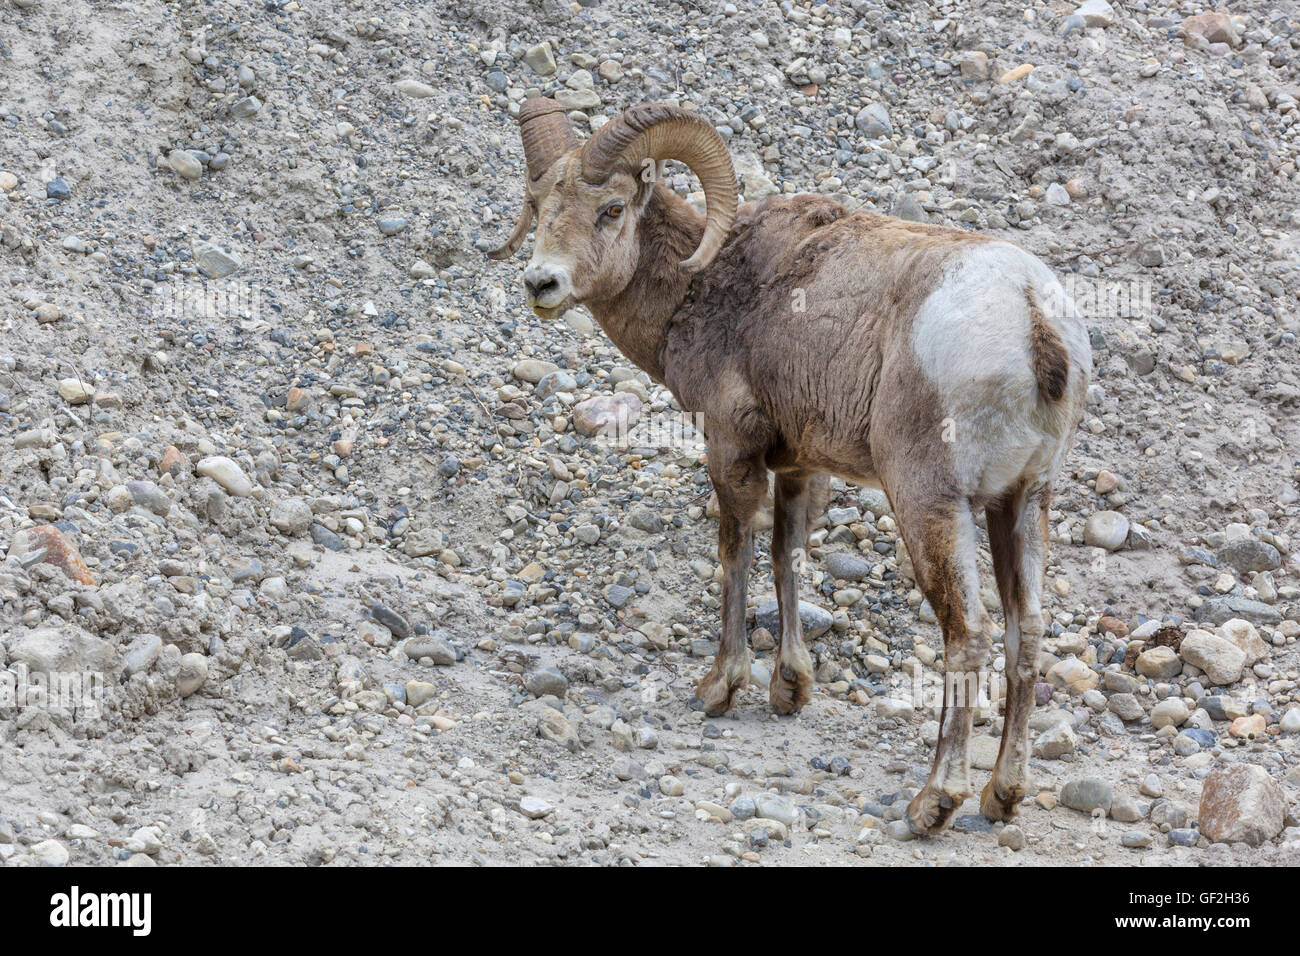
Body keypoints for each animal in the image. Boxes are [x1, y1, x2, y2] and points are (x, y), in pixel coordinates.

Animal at [489, 99, 1091, 836]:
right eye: (538, 204)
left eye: (611, 209)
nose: (541, 284)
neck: (700, 290)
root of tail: (1034, 320)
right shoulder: (802, 467)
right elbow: (786, 556)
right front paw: (790, 688)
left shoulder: (731, 450)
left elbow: (736, 554)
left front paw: (720, 688)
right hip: (1024, 501)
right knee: (1024, 630)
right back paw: (1001, 796)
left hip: (932, 502)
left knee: (968, 633)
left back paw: (933, 803)